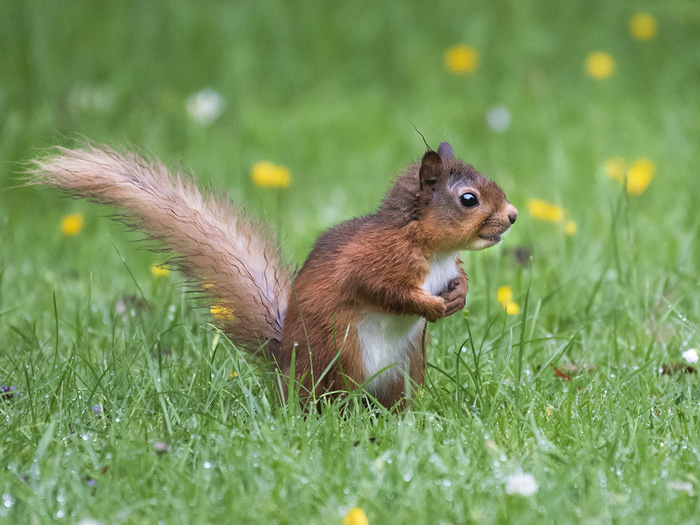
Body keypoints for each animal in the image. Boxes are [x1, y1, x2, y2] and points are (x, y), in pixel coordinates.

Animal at [29, 141, 517, 409]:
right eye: (469, 199)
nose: (512, 216)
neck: (434, 251)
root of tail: (286, 364)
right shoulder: (374, 261)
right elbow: (381, 289)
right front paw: (430, 305)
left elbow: (459, 281)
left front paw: (458, 296)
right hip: (338, 362)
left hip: (403, 373)